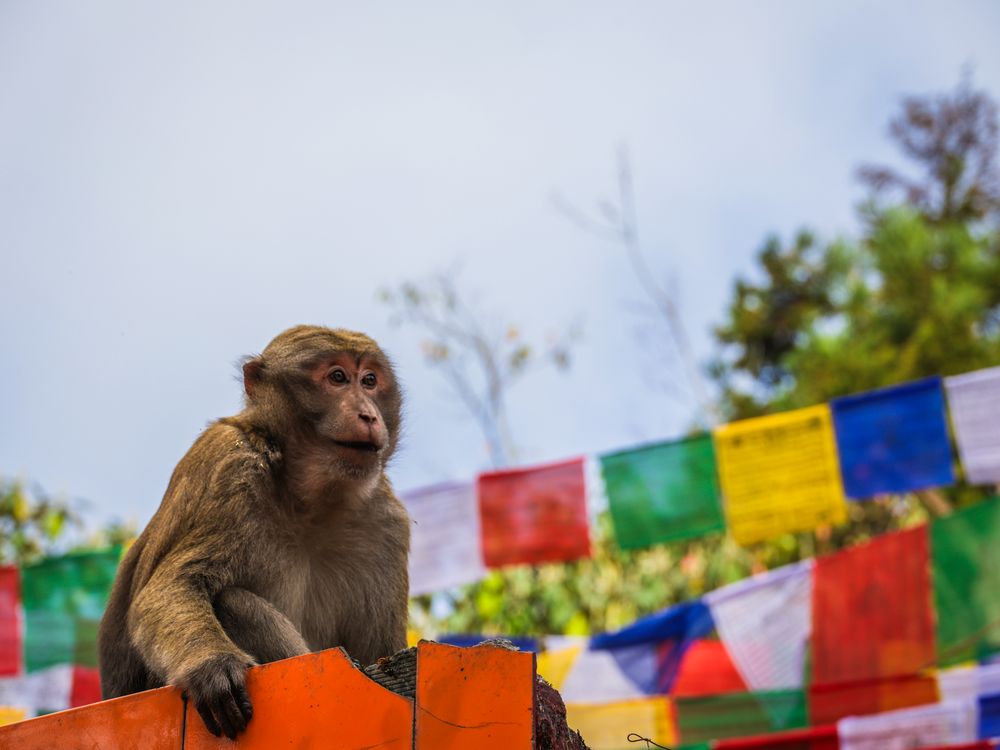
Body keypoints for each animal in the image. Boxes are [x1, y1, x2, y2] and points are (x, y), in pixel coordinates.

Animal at [97, 325, 410, 740]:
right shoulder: (230, 465)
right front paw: (211, 666)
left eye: (370, 381)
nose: (368, 414)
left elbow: (378, 654)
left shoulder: (385, 523)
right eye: (338, 377)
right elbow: (172, 586)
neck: (310, 505)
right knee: (233, 603)